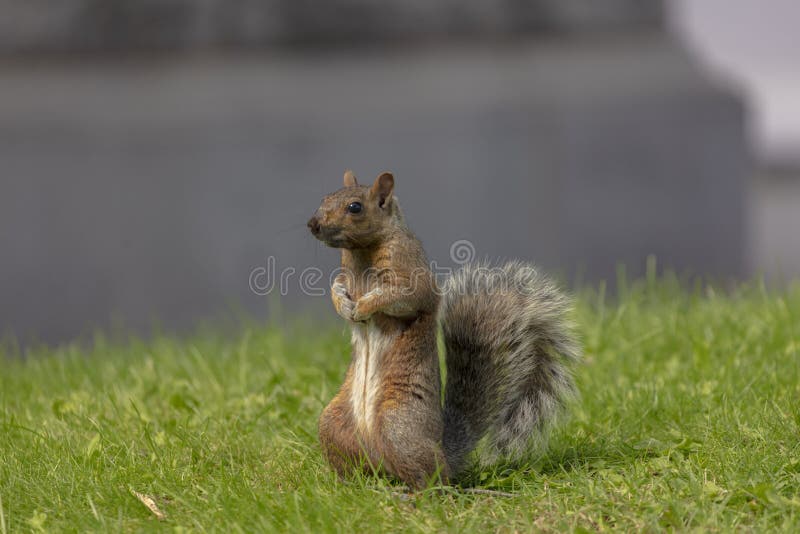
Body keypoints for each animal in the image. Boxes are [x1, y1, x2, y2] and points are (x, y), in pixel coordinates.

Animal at [307, 170, 579, 490]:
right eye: (324, 197)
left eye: (355, 207)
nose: (313, 224)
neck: (361, 252)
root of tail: (443, 450)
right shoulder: (344, 274)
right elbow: (336, 286)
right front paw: (343, 304)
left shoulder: (412, 275)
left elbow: (399, 297)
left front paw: (363, 307)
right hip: (333, 424)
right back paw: (348, 486)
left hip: (398, 425)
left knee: (433, 479)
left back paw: (411, 493)